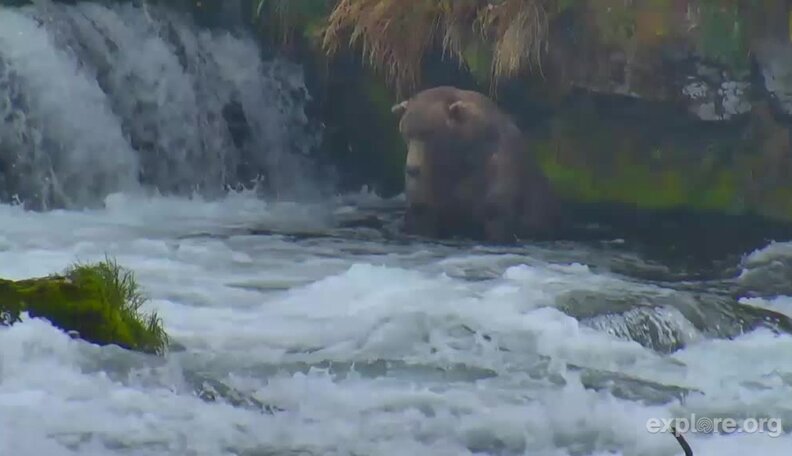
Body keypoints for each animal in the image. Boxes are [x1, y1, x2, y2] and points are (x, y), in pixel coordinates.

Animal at [390, 85, 560, 242]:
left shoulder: (494, 163)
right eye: (406, 133)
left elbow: (496, 213)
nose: (412, 168)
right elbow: (422, 211)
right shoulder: (430, 180)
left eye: (428, 133)